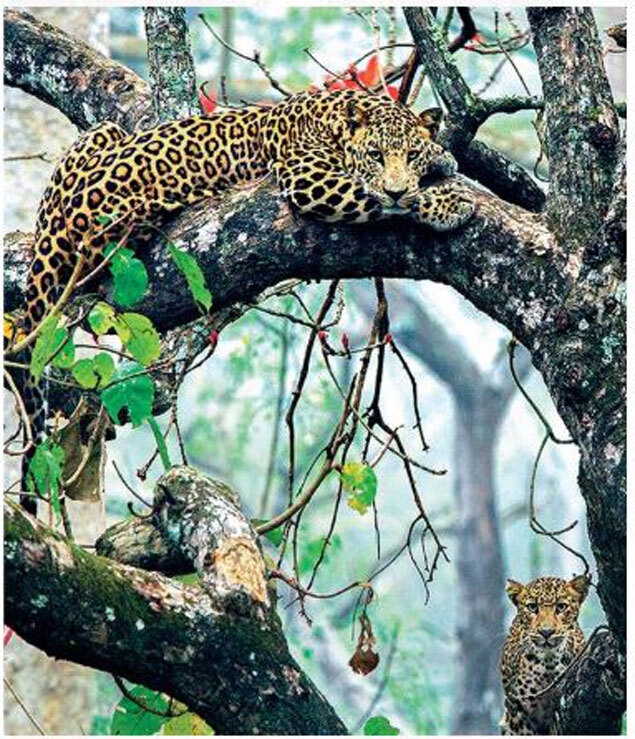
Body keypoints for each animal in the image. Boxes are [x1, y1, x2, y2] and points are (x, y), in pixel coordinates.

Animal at [14, 87, 475, 513]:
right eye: (376, 156)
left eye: (410, 154)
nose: (398, 184)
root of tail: (60, 218)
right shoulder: (309, 178)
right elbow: (382, 201)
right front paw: (446, 202)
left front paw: (440, 157)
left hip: (100, 136)